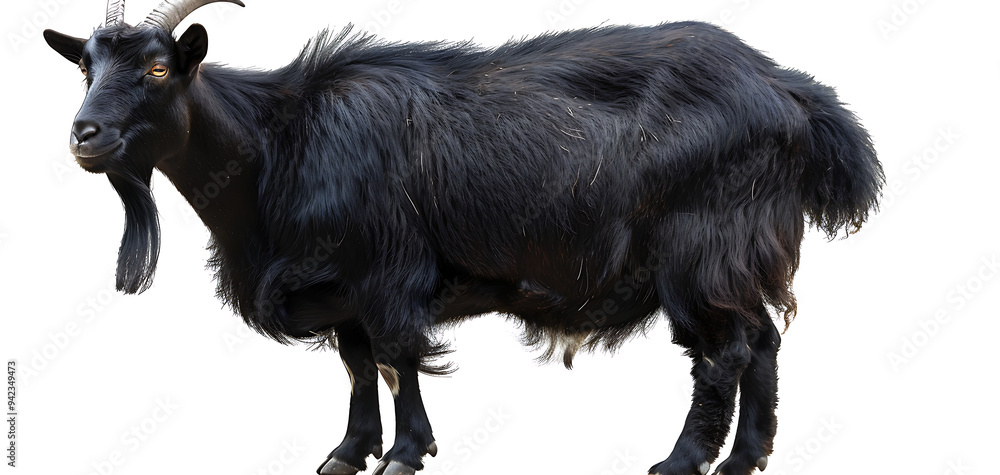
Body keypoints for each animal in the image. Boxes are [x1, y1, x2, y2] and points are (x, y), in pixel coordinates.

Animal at [44, 1, 883, 474]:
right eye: (85, 67)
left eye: (158, 68)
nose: (84, 134)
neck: (277, 144)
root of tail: (791, 93)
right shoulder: (341, 291)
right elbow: (357, 366)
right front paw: (346, 453)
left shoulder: (387, 273)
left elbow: (397, 360)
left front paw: (405, 453)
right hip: (738, 257)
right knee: (764, 339)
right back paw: (747, 457)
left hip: (700, 250)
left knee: (725, 352)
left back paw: (682, 460)